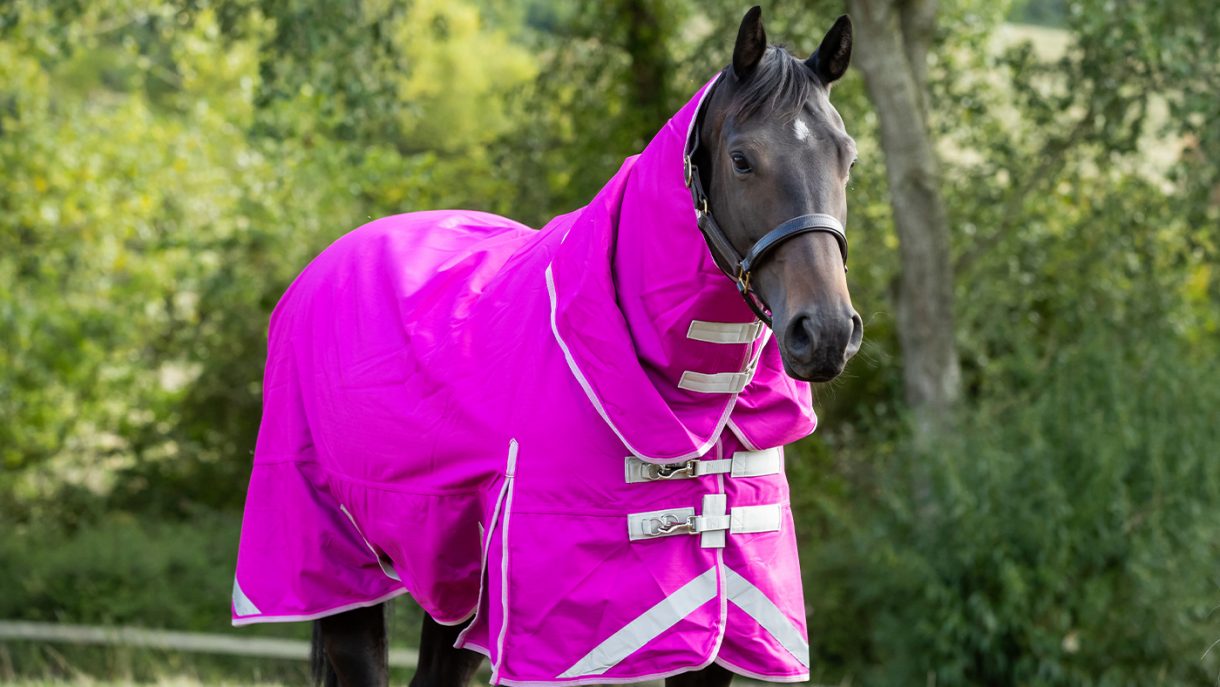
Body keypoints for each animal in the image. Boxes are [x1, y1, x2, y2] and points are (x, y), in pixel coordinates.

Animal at [231, 7, 860, 687]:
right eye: (743, 160)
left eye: (847, 158)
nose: (825, 330)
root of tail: (318, 272)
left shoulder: (725, 637)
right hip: (340, 571)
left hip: (457, 585)